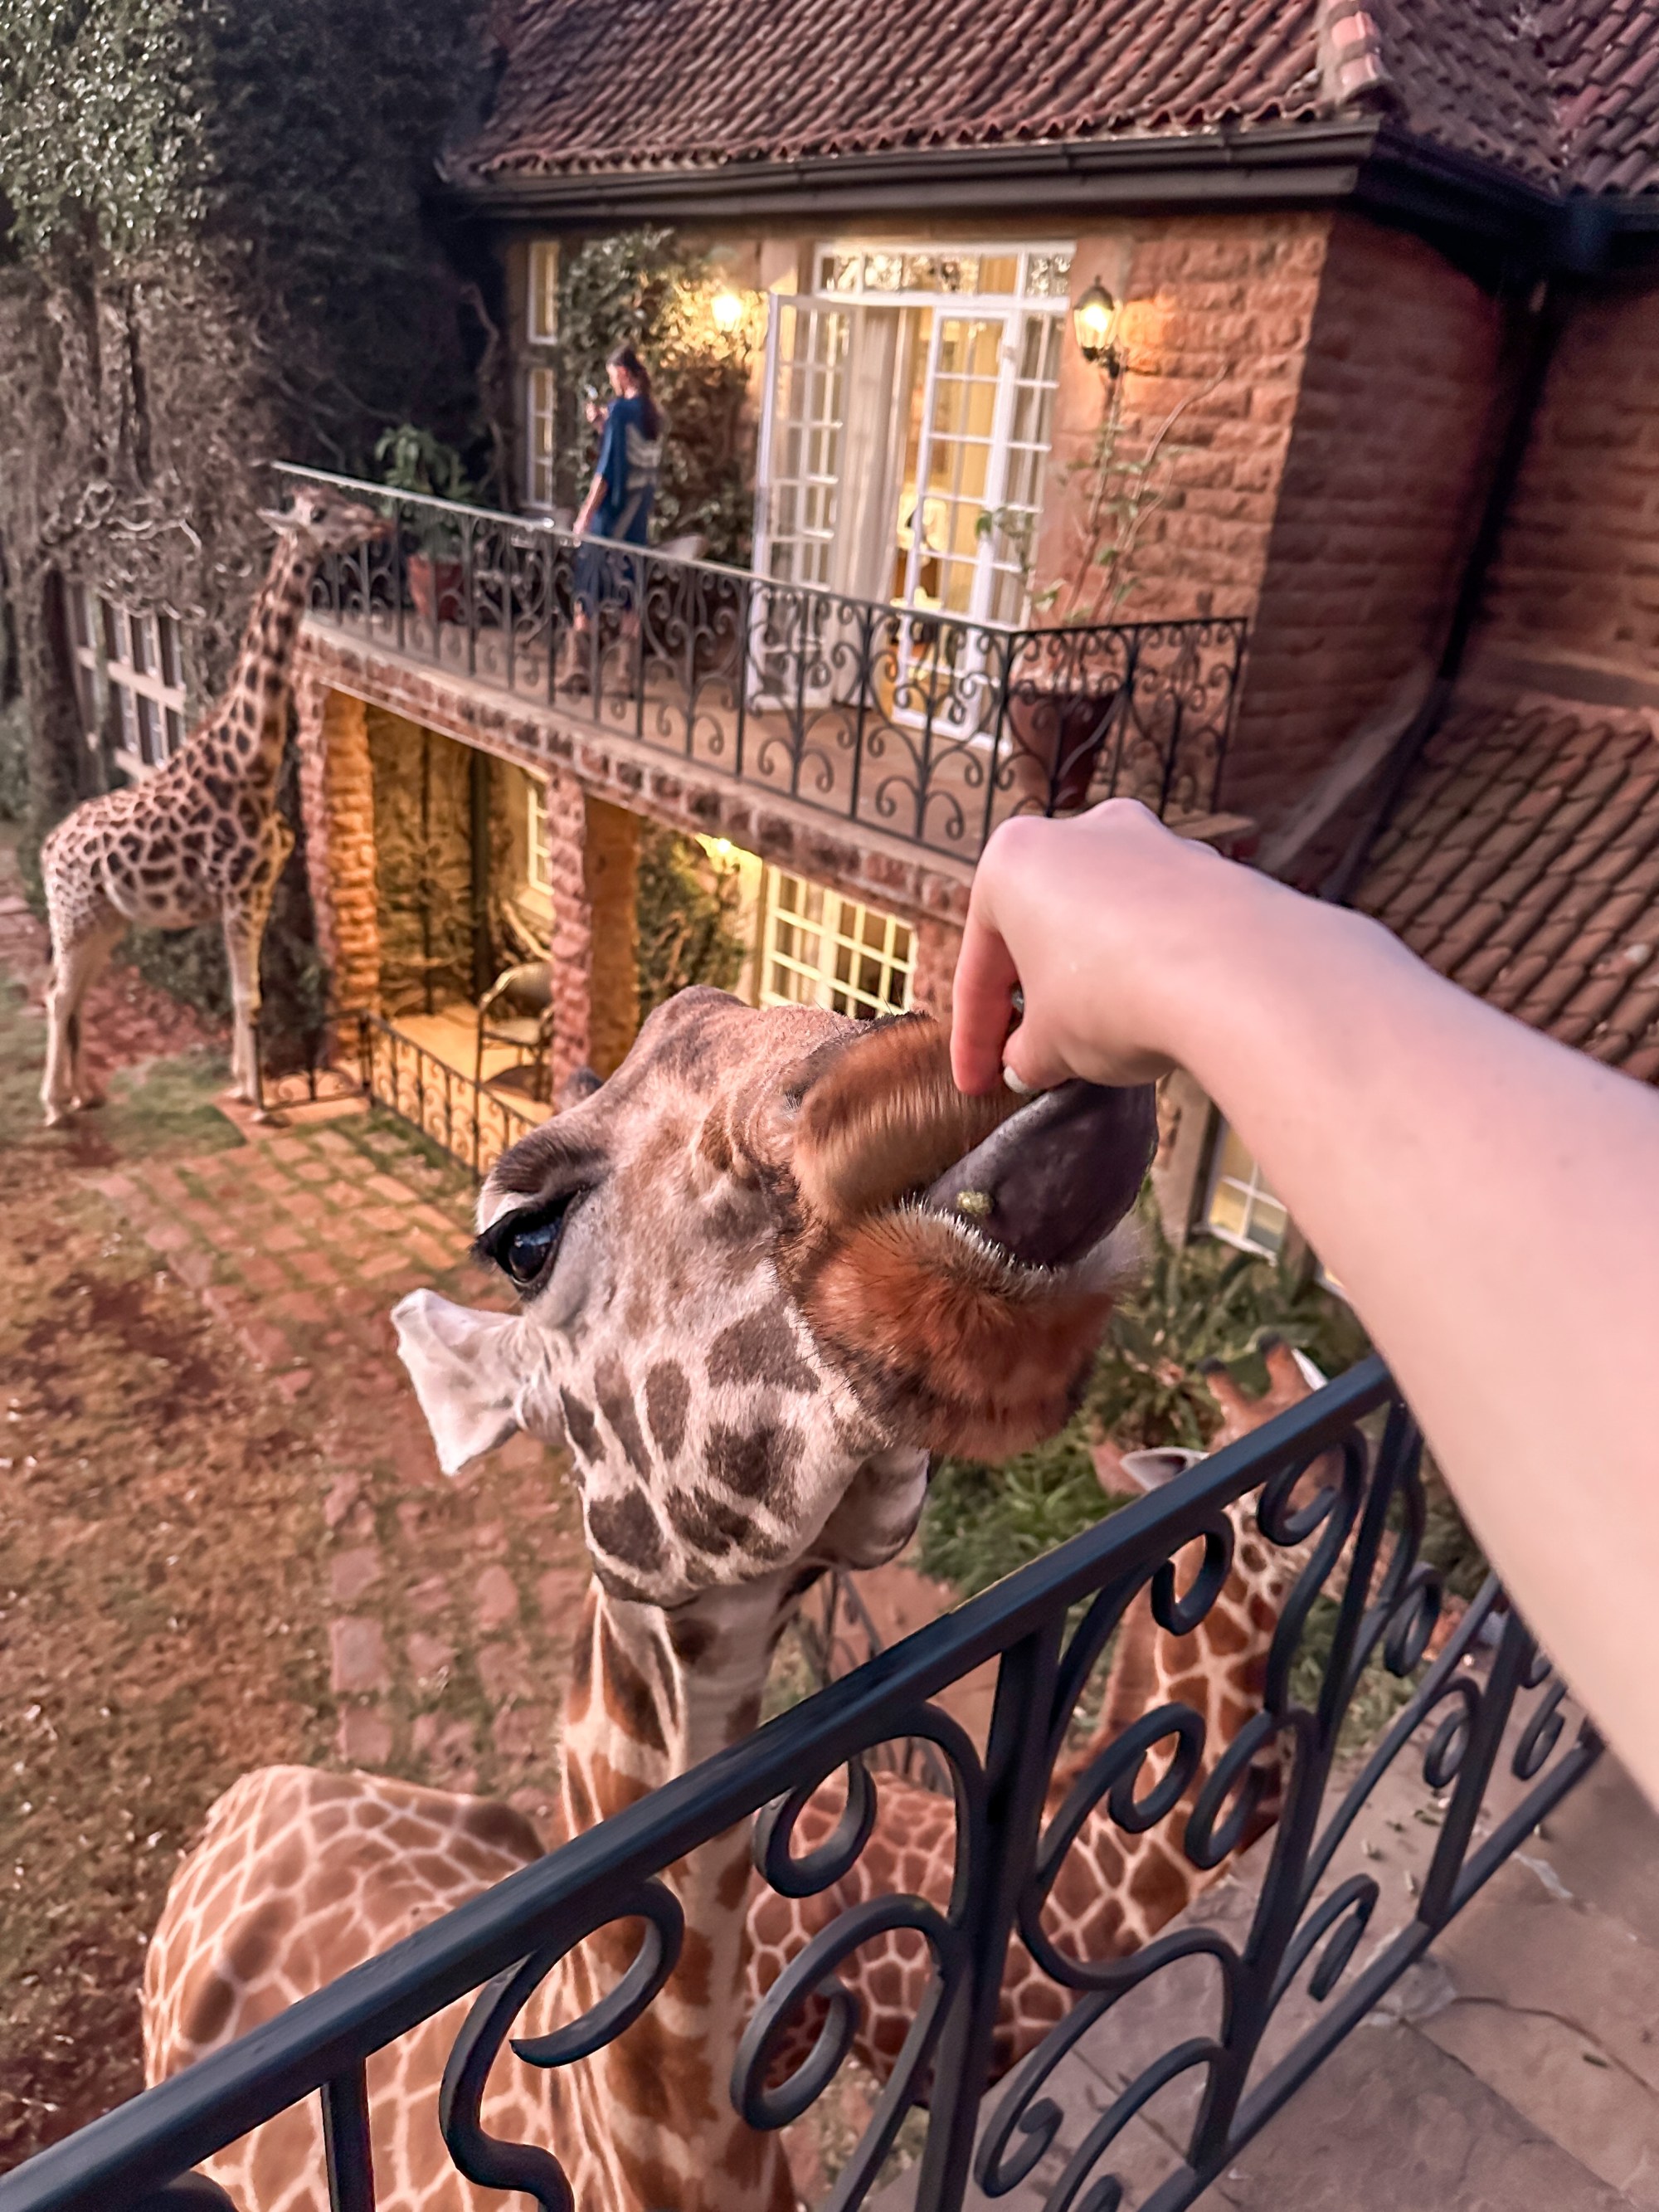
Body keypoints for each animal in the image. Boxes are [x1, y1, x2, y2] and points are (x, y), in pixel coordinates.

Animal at [38, 487, 387, 1126]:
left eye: (336, 499)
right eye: (319, 515)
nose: (378, 521)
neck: (253, 763)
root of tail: (50, 844)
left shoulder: (259, 892)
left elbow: (247, 991)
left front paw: (244, 1085)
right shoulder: (239, 894)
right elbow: (247, 994)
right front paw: (260, 1102)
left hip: (105, 920)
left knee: (75, 993)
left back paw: (85, 1093)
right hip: (74, 916)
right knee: (58, 993)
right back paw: (56, 1105)